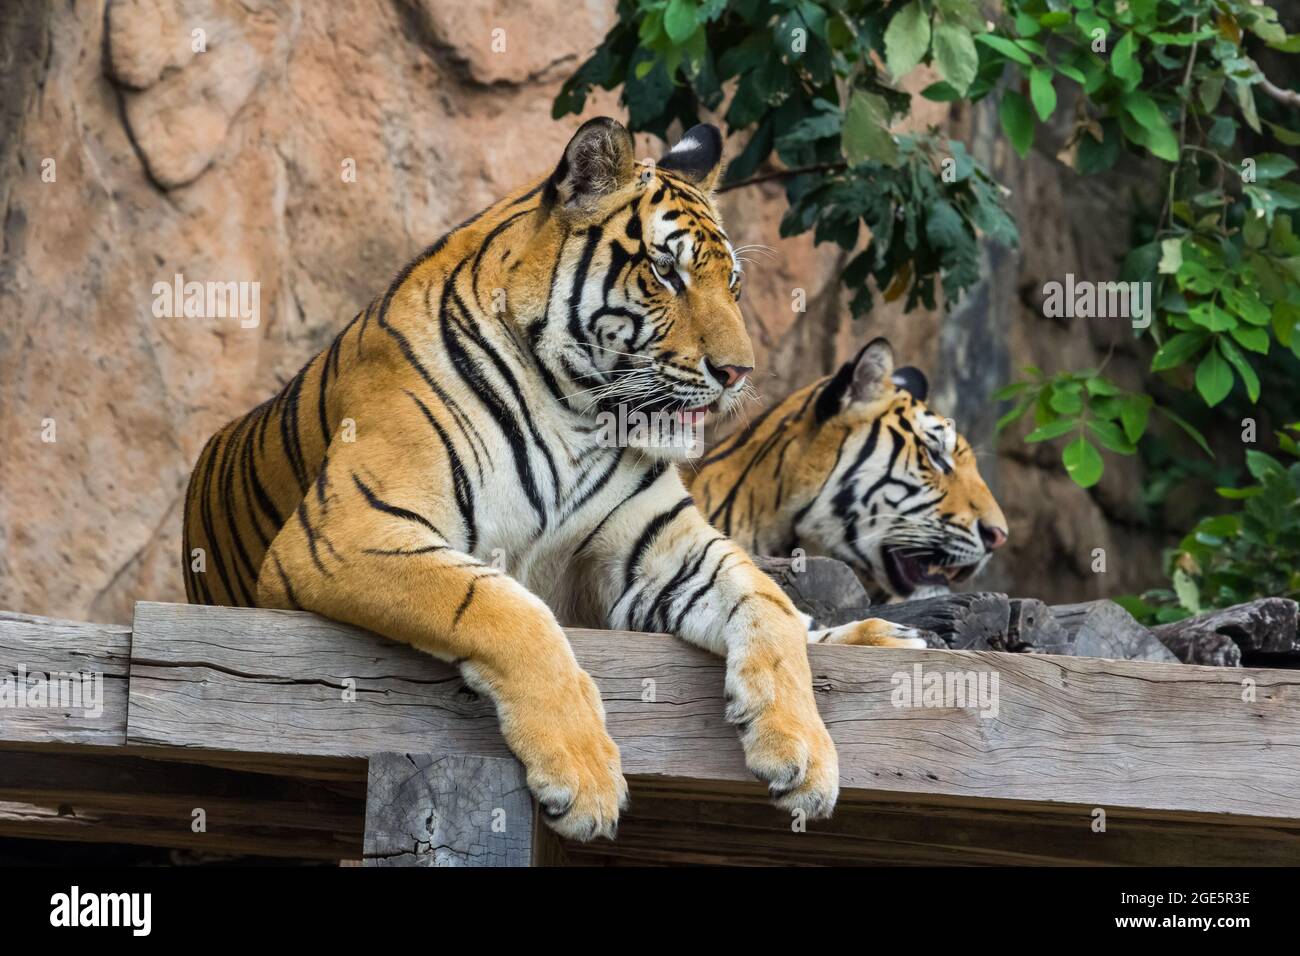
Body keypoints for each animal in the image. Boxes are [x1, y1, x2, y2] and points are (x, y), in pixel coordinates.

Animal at [180, 117, 903, 842]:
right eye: (665, 272)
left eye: (733, 283)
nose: (738, 373)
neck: (572, 411)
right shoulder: (350, 528)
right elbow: (505, 608)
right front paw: (584, 779)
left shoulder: (661, 547)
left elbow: (767, 602)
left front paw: (803, 754)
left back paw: (887, 635)